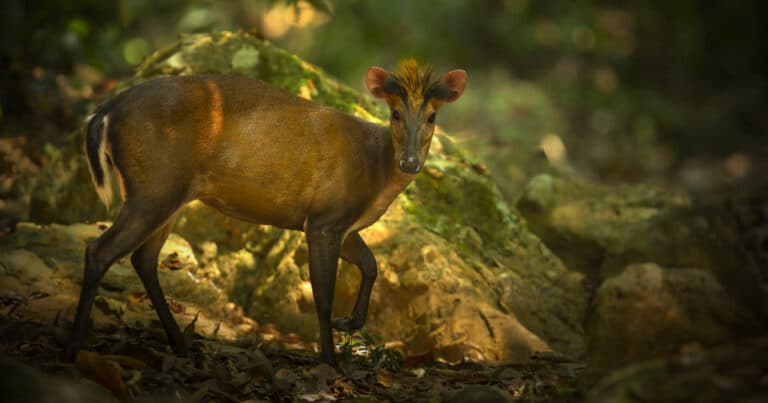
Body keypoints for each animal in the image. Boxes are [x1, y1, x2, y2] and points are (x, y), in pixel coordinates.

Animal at [67, 59, 467, 365]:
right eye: (396, 113)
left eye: (432, 117)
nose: (410, 162)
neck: (377, 168)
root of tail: (106, 111)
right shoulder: (323, 220)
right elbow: (323, 298)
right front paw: (332, 362)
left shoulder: (345, 226)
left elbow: (372, 265)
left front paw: (350, 323)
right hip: (154, 185)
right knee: (100, 250)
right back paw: (73, 347)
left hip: (167, 193)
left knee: (143, 258)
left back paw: (180, 345)